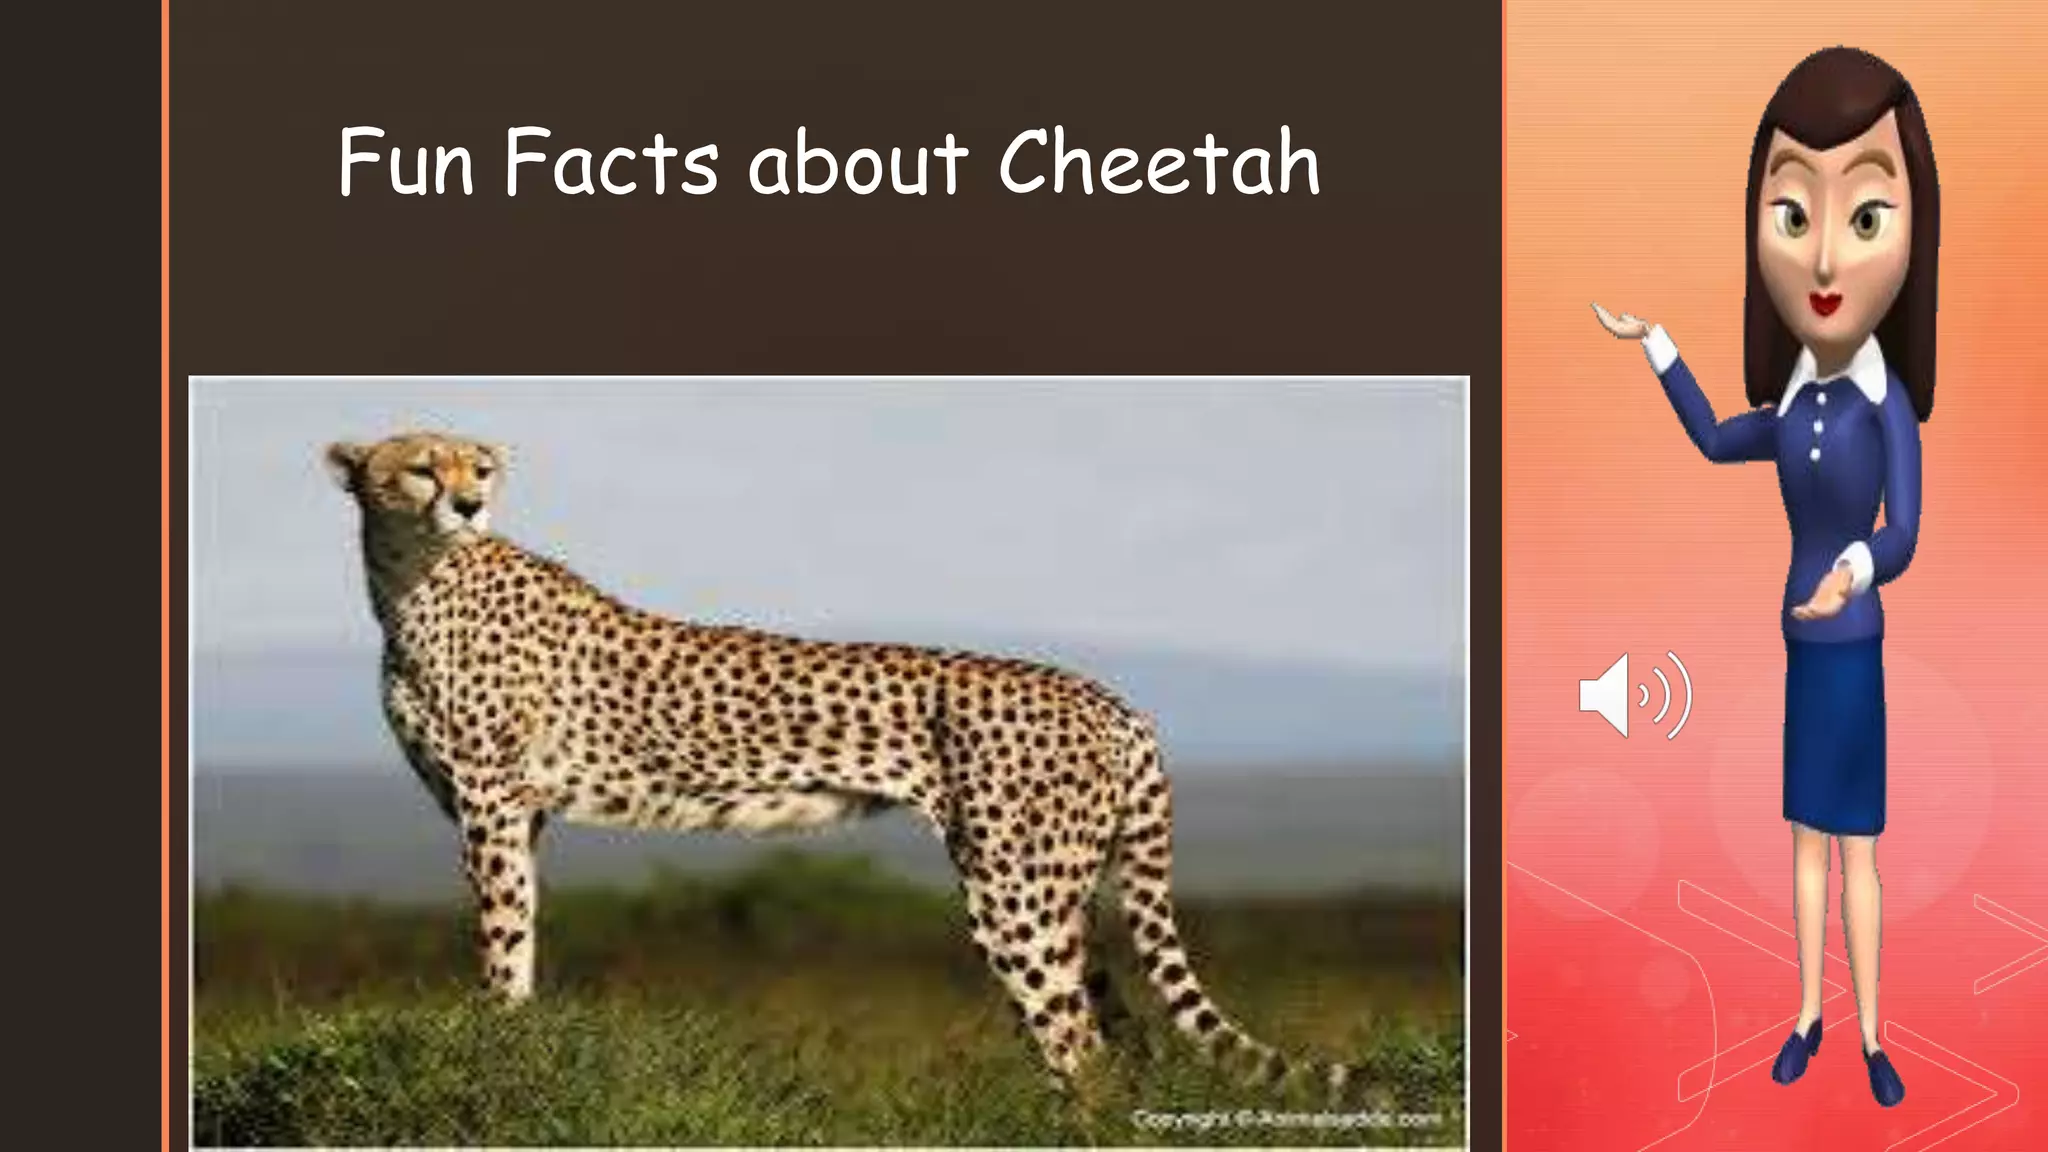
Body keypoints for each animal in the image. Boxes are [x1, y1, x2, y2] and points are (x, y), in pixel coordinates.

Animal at [325, 428, 1361, 1098]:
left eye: (480, 465)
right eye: (420, 468)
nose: (470, 500)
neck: (411, 575)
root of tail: (1110, 697)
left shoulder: (492, 805)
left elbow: (500, 940)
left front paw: (498, 1046)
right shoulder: (519, 813)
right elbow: (524, 932)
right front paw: (516, 1037)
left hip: (1015, 893)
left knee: (1079, 1045)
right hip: (1068, 890)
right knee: (1117, 1037)